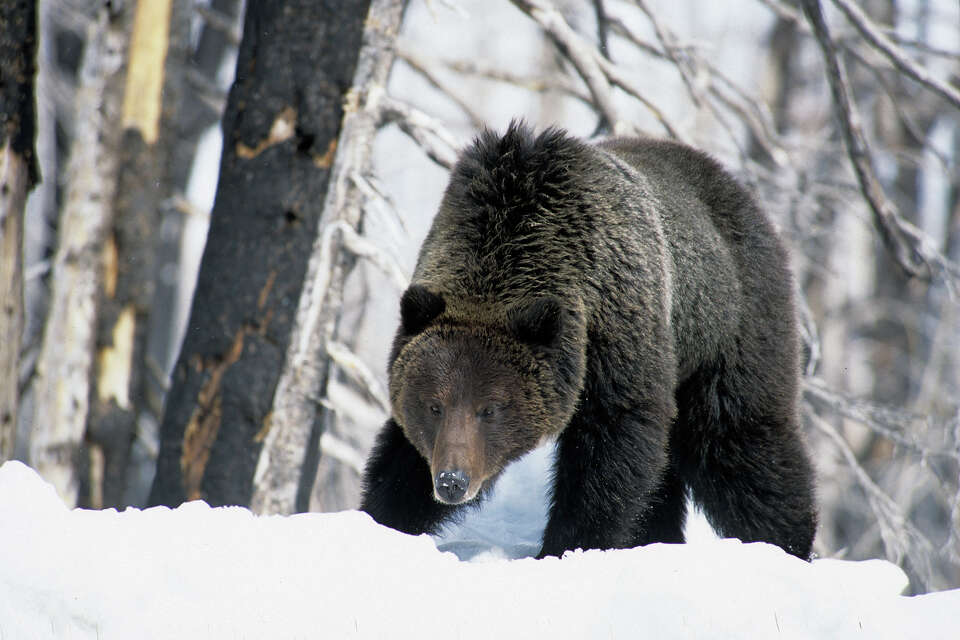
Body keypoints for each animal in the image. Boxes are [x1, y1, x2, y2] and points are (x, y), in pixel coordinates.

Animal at [360, 121, 817, 560]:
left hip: (726, 332)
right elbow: (400, 460)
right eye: (433, 405)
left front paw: (569, 544)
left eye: (490, 408)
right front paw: (384, 520)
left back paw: (786, 542)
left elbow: (609, 458)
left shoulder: (617, 344)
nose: (452, 480)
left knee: (739, 445)